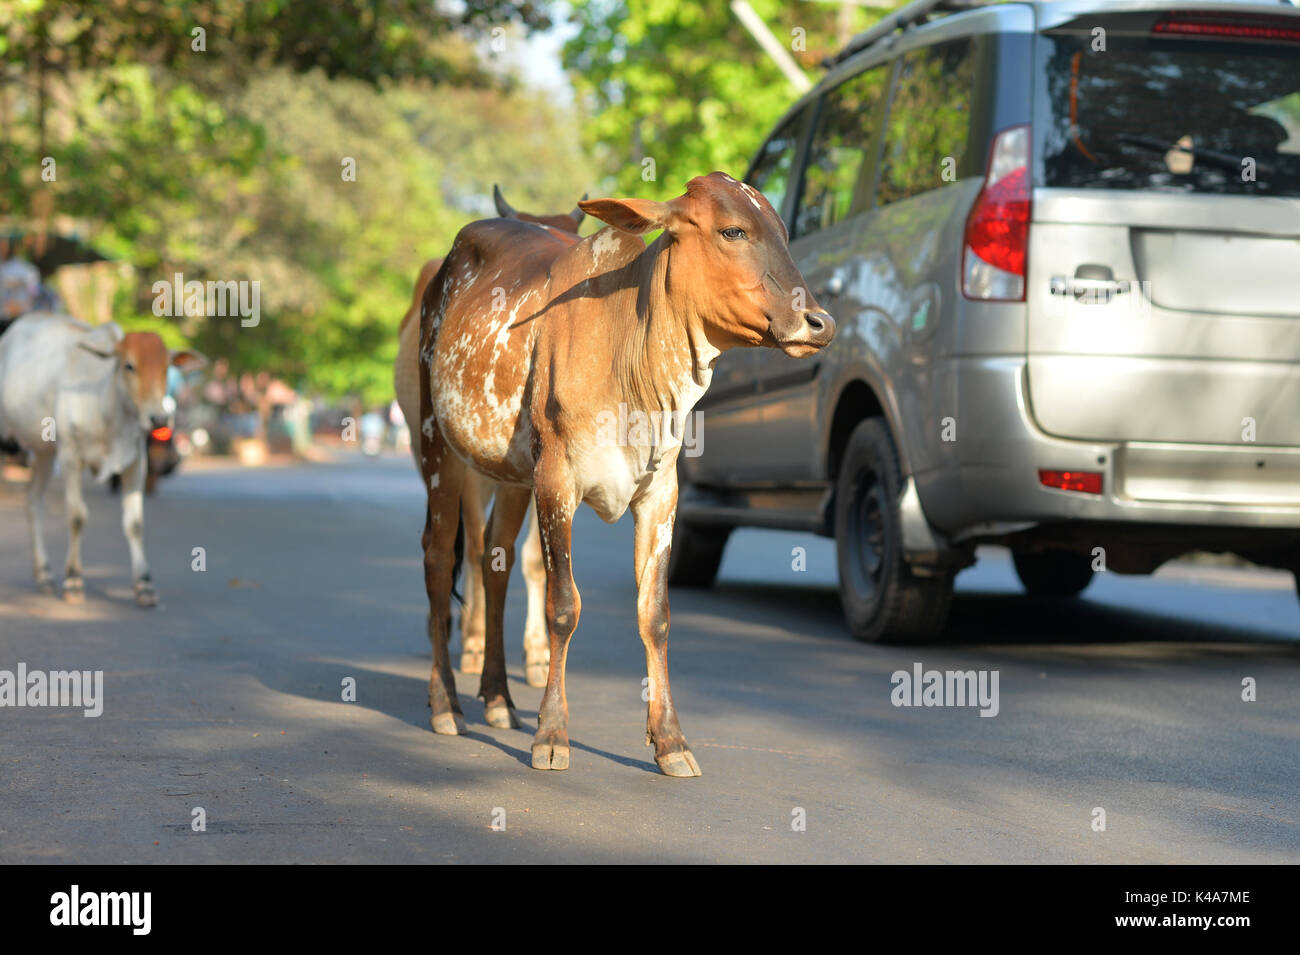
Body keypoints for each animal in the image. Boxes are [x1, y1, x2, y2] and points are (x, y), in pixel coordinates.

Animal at [0, 314, 205, 605]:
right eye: (129, 365)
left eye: (166, 368)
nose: (159, 418)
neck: (108, 409)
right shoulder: (70, 456)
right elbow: (77, 517)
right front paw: (74, 580)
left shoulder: (136, 462)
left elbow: (135, 523)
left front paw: (144, 584)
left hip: (44, 452)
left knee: (32, 502)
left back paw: (45, 574)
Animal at [393, 187, 585, 688]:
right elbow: (481, 547)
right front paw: (477, 642)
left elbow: (534, 559)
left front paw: (536, 654)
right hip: (435, 452)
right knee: (465, 541)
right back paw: (459, 633)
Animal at [416, 172, 835, 776]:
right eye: (733, 230)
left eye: (782, 230)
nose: (819, 322)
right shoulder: (556, 481)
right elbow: (563, 605)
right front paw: (553, 735)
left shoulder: (661, 492)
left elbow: (654, 613)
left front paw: (671, 741)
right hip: (438, 444)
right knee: (437, 555)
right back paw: (447, 704)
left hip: (512, 474)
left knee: (495, 562)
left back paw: (497, 699)